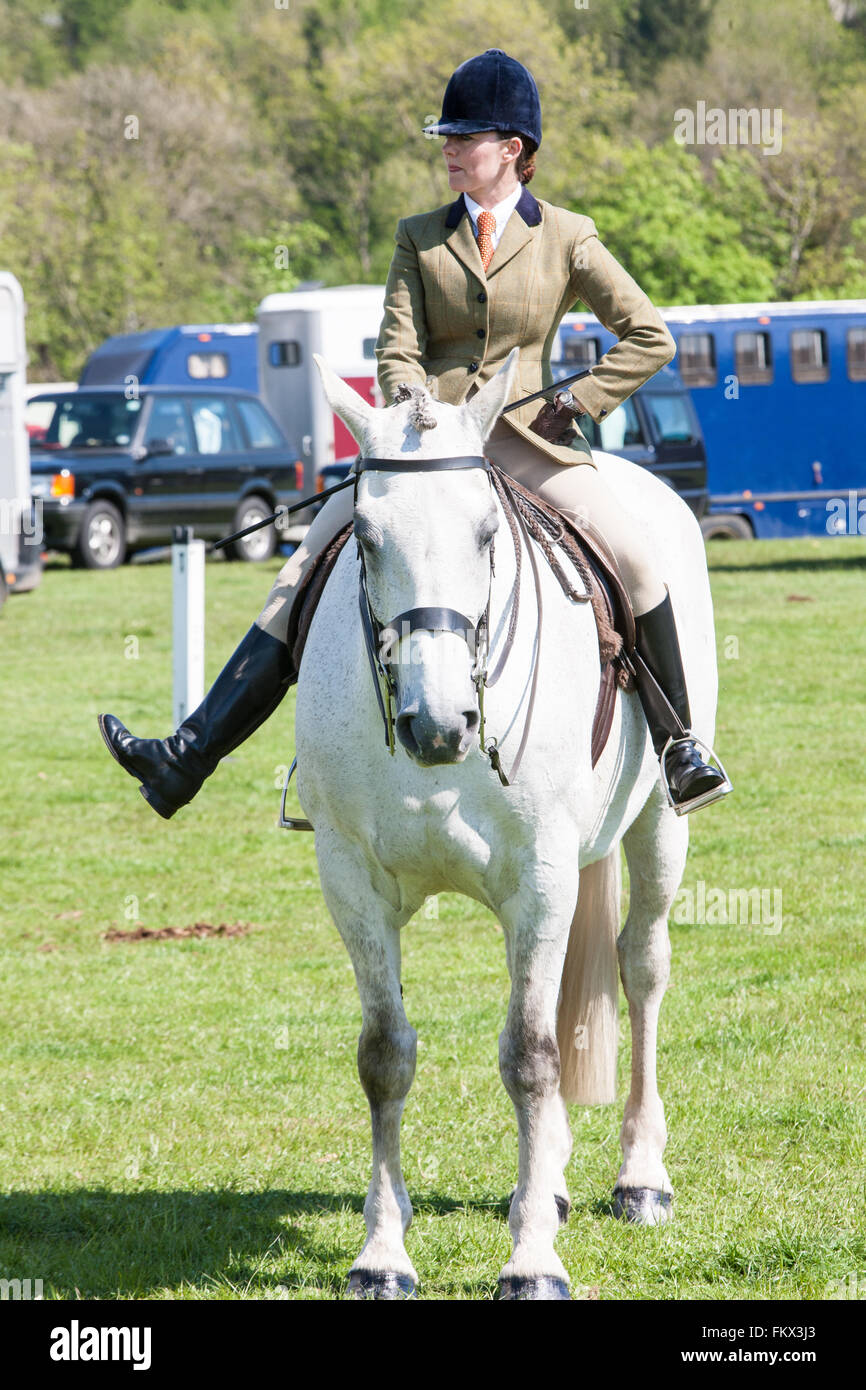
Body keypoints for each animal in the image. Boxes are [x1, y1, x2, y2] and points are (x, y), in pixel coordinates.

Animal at [291, 347, 714, 1300]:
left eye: (487, 533)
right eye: (364, 538)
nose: (438, 725)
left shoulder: (542, 878)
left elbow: (530, 1057)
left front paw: (531, 1262)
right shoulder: (351, 881)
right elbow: (385, 1055)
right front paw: (382, 1254)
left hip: (656, 831)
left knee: (643, 969)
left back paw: (641, 1178)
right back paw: (547, 1187)